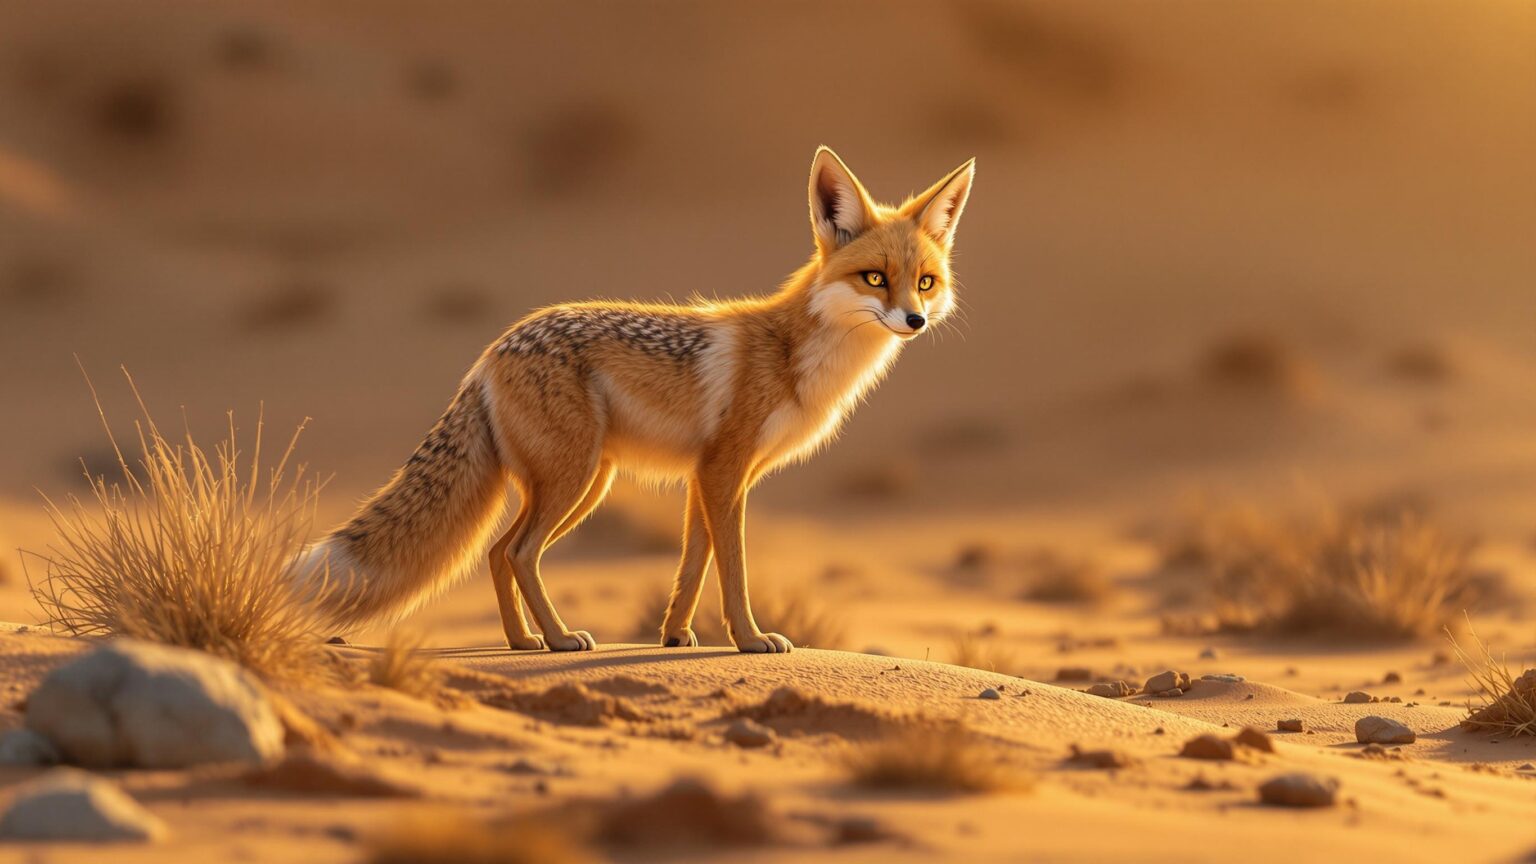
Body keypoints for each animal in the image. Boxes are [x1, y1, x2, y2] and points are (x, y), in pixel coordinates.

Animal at [301, 147, 975, 653]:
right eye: (874, 279)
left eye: (924, 282)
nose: (914, 320)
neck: (796, 355)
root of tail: (491, 351)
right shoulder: (724, 470)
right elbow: (733, 567)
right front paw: (750, 640)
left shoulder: (709, 475)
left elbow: (693, 563)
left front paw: (675, 636)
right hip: (575, 481)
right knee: (518, 551)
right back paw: (559, 639)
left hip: (582, 483)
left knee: (496, 551)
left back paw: (523, 641)